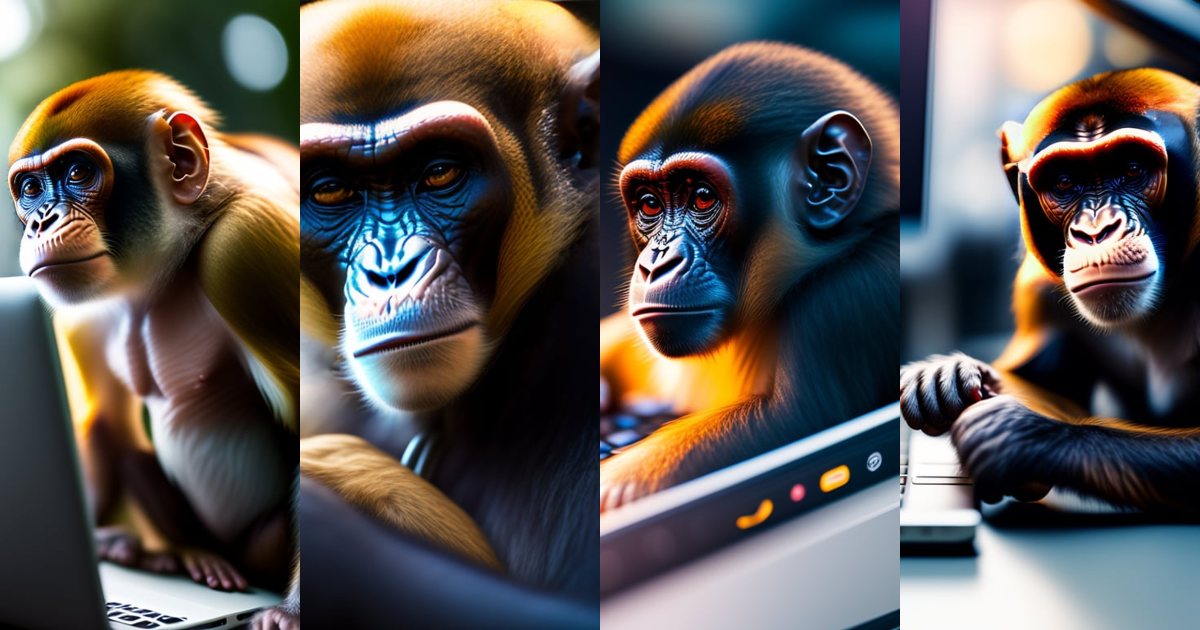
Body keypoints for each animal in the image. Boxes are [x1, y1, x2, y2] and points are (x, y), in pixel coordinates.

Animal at [8, 70, 300, 628]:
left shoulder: (243, 249)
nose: (40, 222)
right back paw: (167, 553)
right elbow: (104, 415)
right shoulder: (76, 311)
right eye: (30, 189)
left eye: (78, 171)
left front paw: (291, 612)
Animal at [899, 68, 1200, 511]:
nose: (1095, 231)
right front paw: (944, 376)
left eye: (1131, 170)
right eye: (1064, 182)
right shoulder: (1040, 288)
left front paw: (1019, 437)